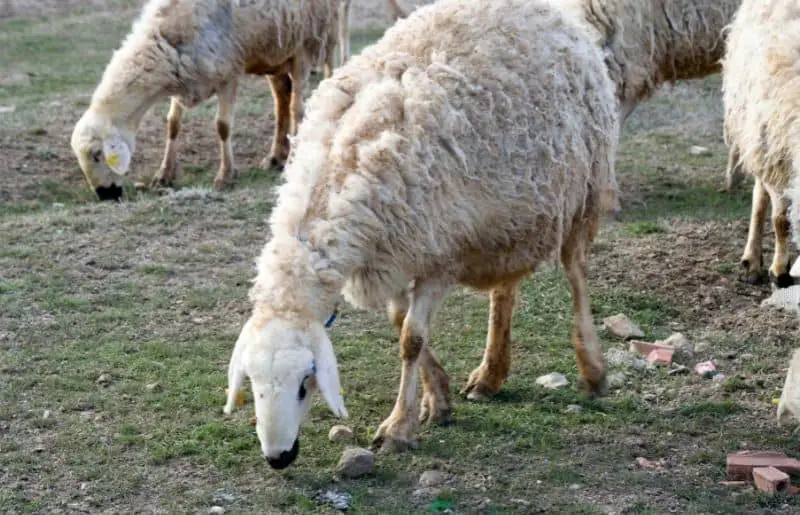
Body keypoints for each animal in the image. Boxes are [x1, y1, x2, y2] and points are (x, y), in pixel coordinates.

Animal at [70, 0, 339, 201]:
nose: (105, 195)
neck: (165, 41)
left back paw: (293, 157)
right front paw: (164, 174)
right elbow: (172, 124)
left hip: (305, 44)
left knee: (298, 106)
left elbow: (223, 127)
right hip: (275, 53)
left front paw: (225, 176)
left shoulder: (229, 73)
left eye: (97, 155)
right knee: (282, 100)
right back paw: (275, 157)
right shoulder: (185, 77)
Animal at [222, 0, 619, 467]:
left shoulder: (436, 255)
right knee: (505, 290)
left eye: (306, 383)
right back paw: (490, 374)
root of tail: (558, 16)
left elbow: (411, 338)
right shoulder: (391, 255)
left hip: (583, 191)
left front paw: (399, 427)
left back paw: (592, 369)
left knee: (576, 275)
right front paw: (438, 399)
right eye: (251, 384)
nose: (278, 457)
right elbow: (401, 324)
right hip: (509, 218)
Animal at [721, 0, 800, 287]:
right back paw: (752, 261)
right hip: (756, 136)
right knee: (759, 199)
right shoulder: (776, 159)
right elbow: (780, 221)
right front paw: (779, 271)